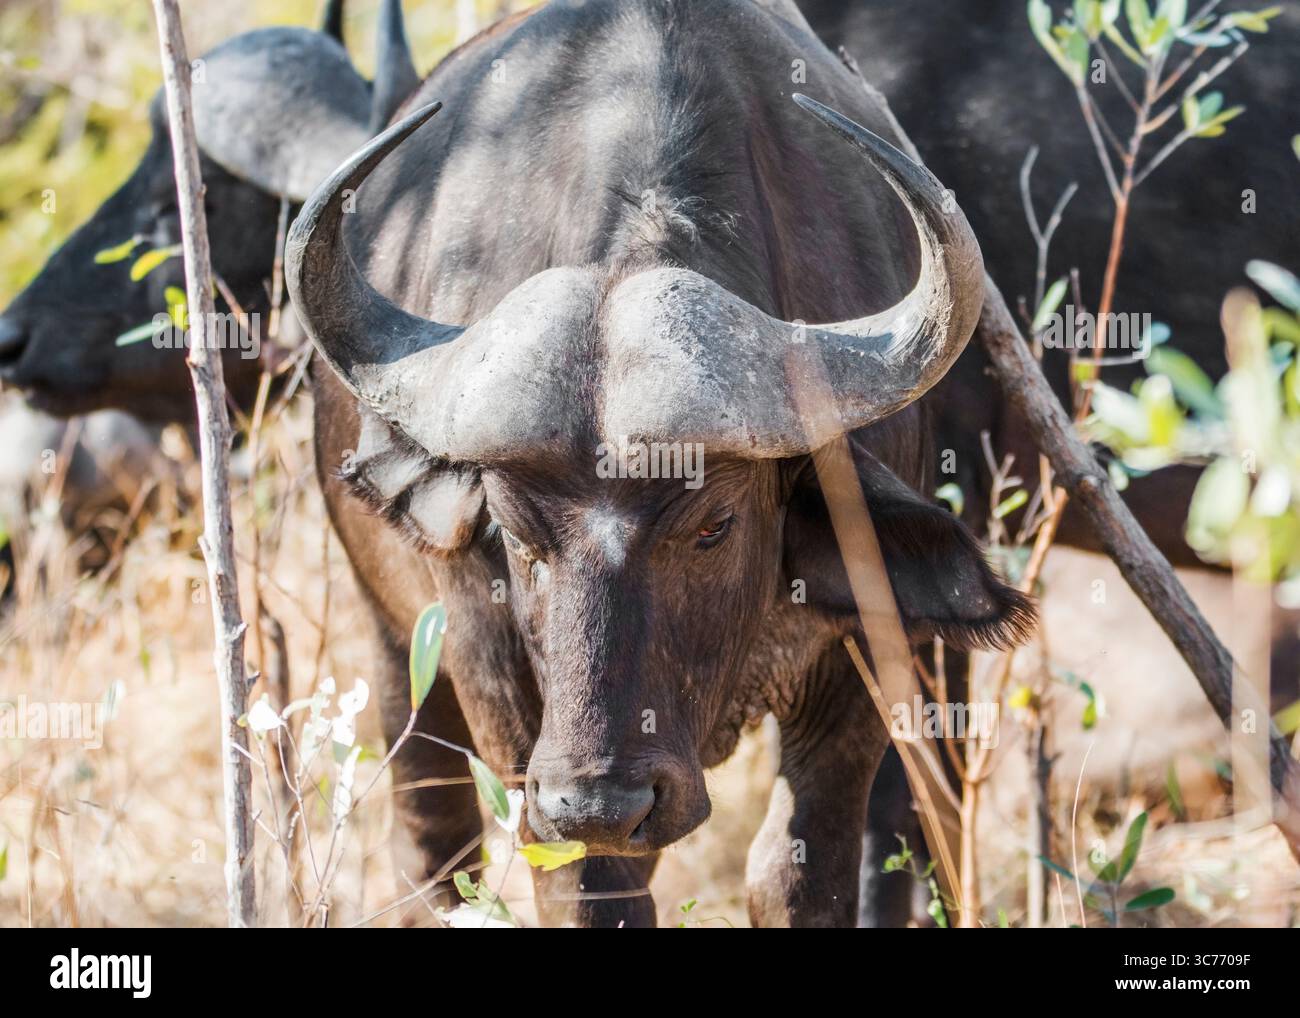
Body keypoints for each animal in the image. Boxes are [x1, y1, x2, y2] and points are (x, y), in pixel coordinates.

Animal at [288, 0, 1034, 927]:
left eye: (714, 526)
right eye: (514, 533)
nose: (600, 801)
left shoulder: (862, 662)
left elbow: (798, 871)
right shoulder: (496, 687)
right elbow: (587, 885)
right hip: (397, 647)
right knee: (431, 836)